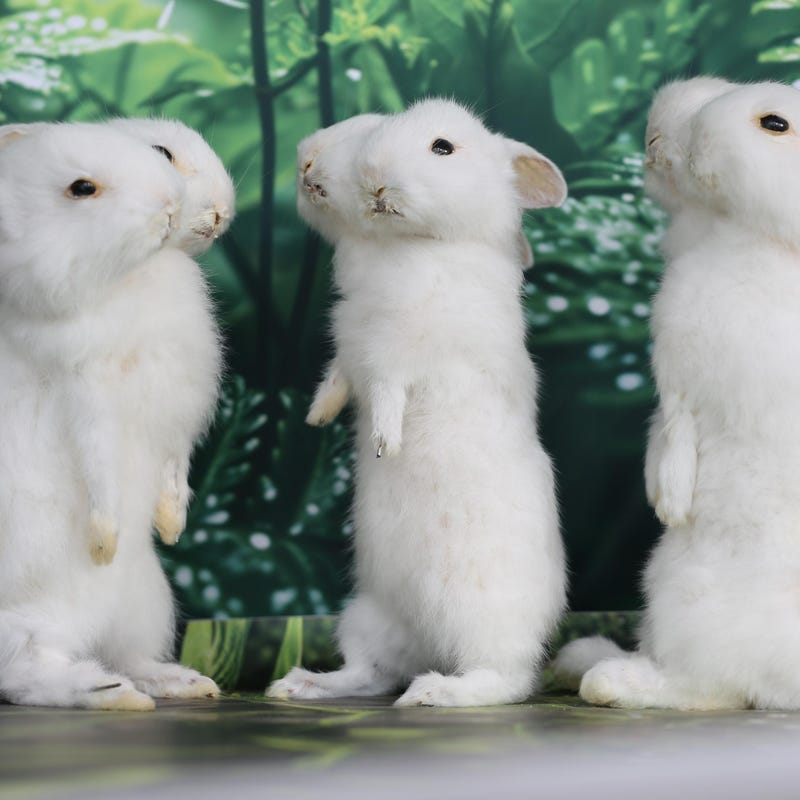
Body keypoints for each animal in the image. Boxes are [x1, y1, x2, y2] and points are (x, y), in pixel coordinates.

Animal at [0, 121, 222, 710]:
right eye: (82, 188)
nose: (170, 204)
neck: (131, 277)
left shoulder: (173, 421)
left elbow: (174, 468)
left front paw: (171, 524)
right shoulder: (88, 399)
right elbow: (100, 474)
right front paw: (104, 540)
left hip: (141, 599)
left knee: (128, 653)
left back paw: (179, 683)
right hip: (42, 615)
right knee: (24, 671)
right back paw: (106, 693)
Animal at [268, 98, 568, 707]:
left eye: (442, 147)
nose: (307, 157)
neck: (409, 244)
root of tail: (429, 642)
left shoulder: (399, 356)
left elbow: (388, 393)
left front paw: (386, 442)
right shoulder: (352, 349)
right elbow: (338, 380)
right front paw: (318, 416)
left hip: (481, 618)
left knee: (504, 680)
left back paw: (434, 694)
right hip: (363, 617)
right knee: (370, 673)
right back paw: (301, 684)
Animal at [556, 82, 800, 710]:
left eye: (774, 123)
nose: (654, 132)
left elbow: (676, 430)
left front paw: (668, 500)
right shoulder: (675, 377)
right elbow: (666, 428)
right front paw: (663, 498)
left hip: (687, 598)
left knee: (712, 687)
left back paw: (605, 679)